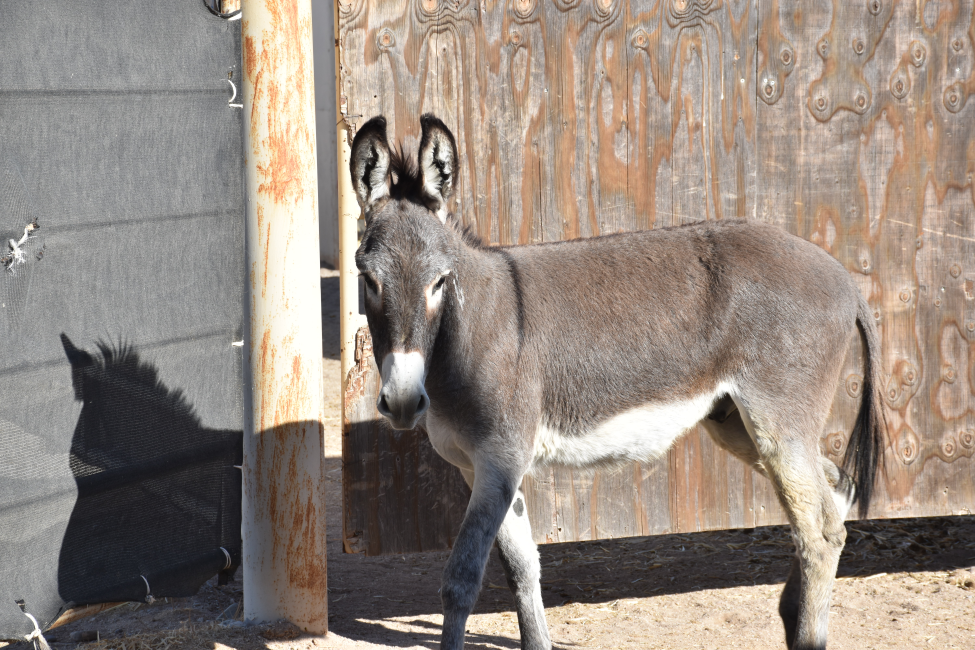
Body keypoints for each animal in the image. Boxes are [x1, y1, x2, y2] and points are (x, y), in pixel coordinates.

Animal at [349, 114, 886, 650]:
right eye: (368, 279)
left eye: (440, 281)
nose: (402, 401)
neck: (465, 331)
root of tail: (844, 278)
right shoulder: (476, 466)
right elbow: (522, 569)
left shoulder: (500, 457)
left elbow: (462, 579)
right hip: (736, 423)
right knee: (837, 493)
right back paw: (794, 612)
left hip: (777, 423)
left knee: (819, 530)